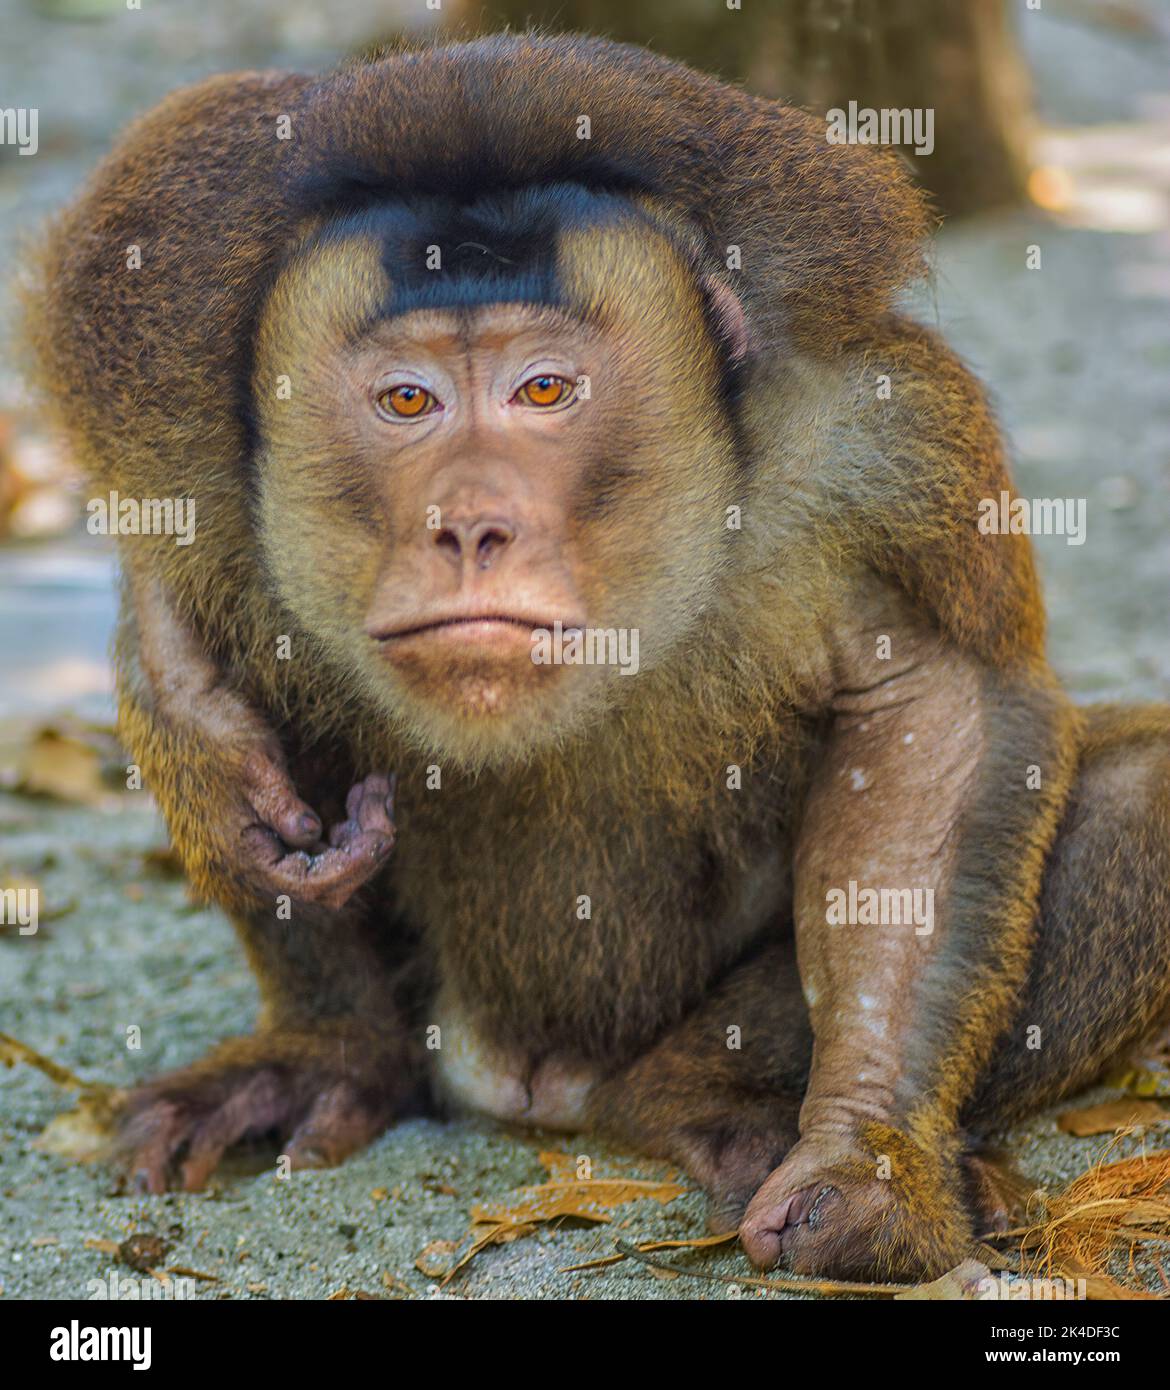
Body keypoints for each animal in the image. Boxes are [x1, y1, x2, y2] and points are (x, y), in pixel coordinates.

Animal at [20, 34, 1170, 1282]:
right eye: (408, 400)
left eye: (543, 389)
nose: (471, 525)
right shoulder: (168, 384)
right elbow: (164, 544)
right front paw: (198, 722)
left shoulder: (880, 444)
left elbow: (933, 708)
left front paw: (860, 1156)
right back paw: (337, 1051)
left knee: (1136, 792)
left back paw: (704, 1093)